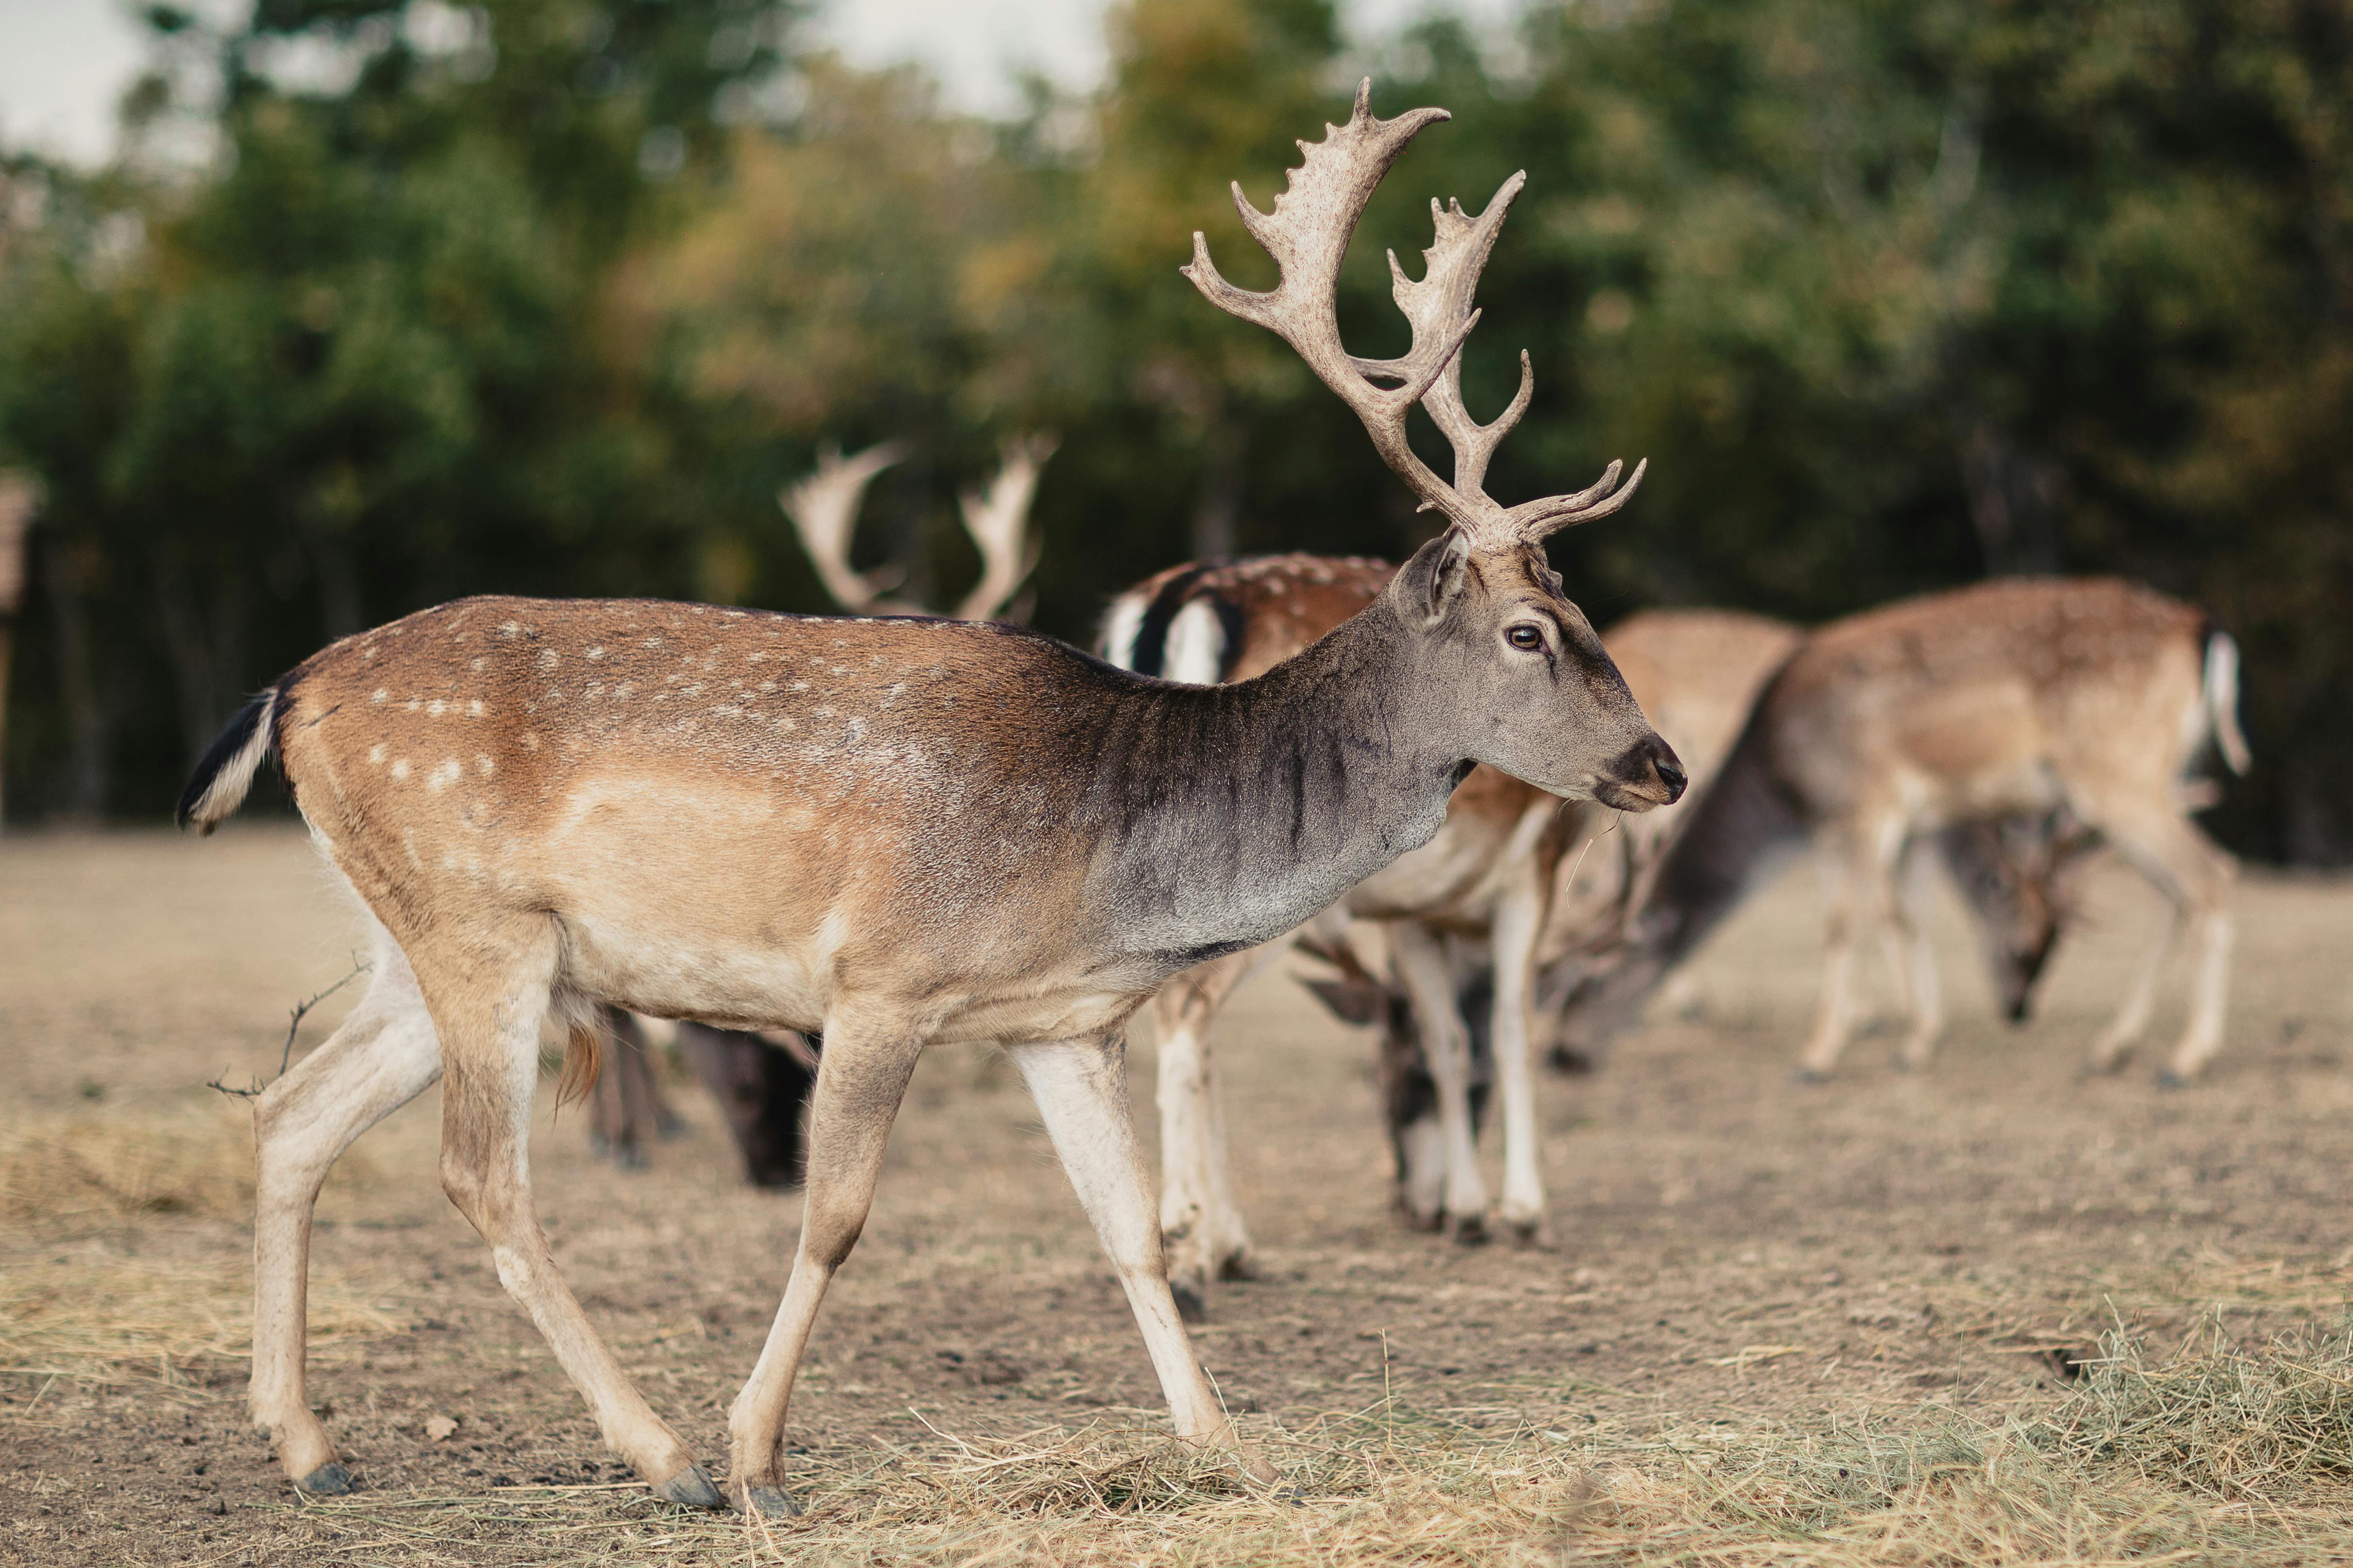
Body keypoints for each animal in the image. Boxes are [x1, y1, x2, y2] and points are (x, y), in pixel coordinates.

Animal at [1101, 553, 1588, 1319]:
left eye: (1390, 1083)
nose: (1411, 1206)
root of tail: (1185, 592)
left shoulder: (1414, 913)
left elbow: (1446, 1036)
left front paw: (1465, 1205)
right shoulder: (1529, 871)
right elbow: (1510, 1029)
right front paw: (1519, 1211)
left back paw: (1228, 1246)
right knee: (1185, 1014)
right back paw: (1189, 1251)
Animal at [1549, 577, 2245, 1085]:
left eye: (1587, 982)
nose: (1561, 1055)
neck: (1777, 771)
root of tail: (2201, 631)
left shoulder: (1861, 806)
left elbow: (1846, 919)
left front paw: (1820, 1052)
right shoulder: (1899, 822)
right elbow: (1902, 914)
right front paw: (1915, 1039)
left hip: (2116, 773)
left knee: (2209, 877)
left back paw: (2184, 1057)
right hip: (2153, 776)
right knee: (2177, 890)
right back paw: (2115, 1047)